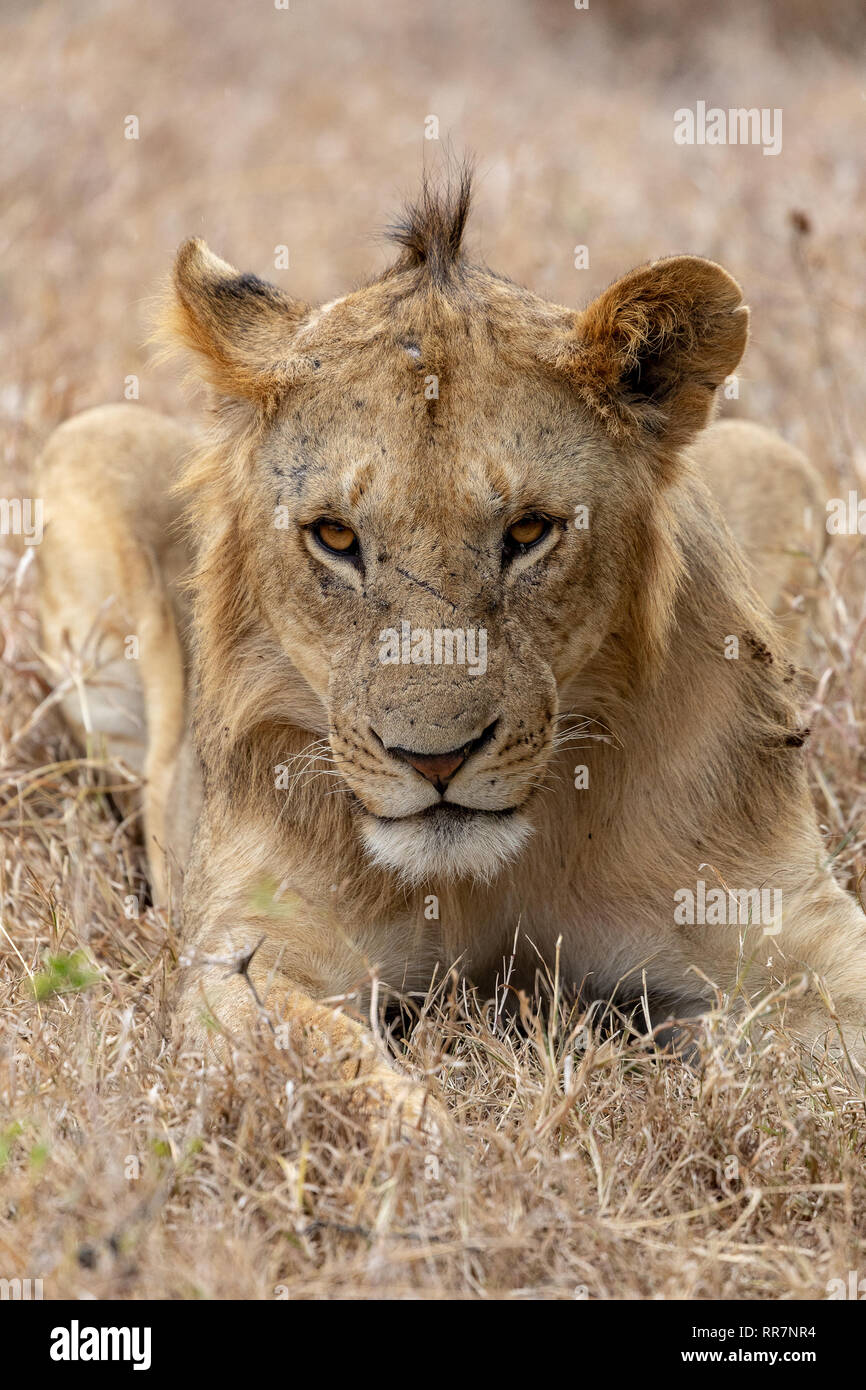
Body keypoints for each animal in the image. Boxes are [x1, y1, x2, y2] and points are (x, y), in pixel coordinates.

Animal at [36, 174, 866, 1114]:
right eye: (334, 536)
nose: (434, 760)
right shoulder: (244, 961)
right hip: (90, 446)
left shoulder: (795, 936)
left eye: (530, 531)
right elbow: (352, 1079)